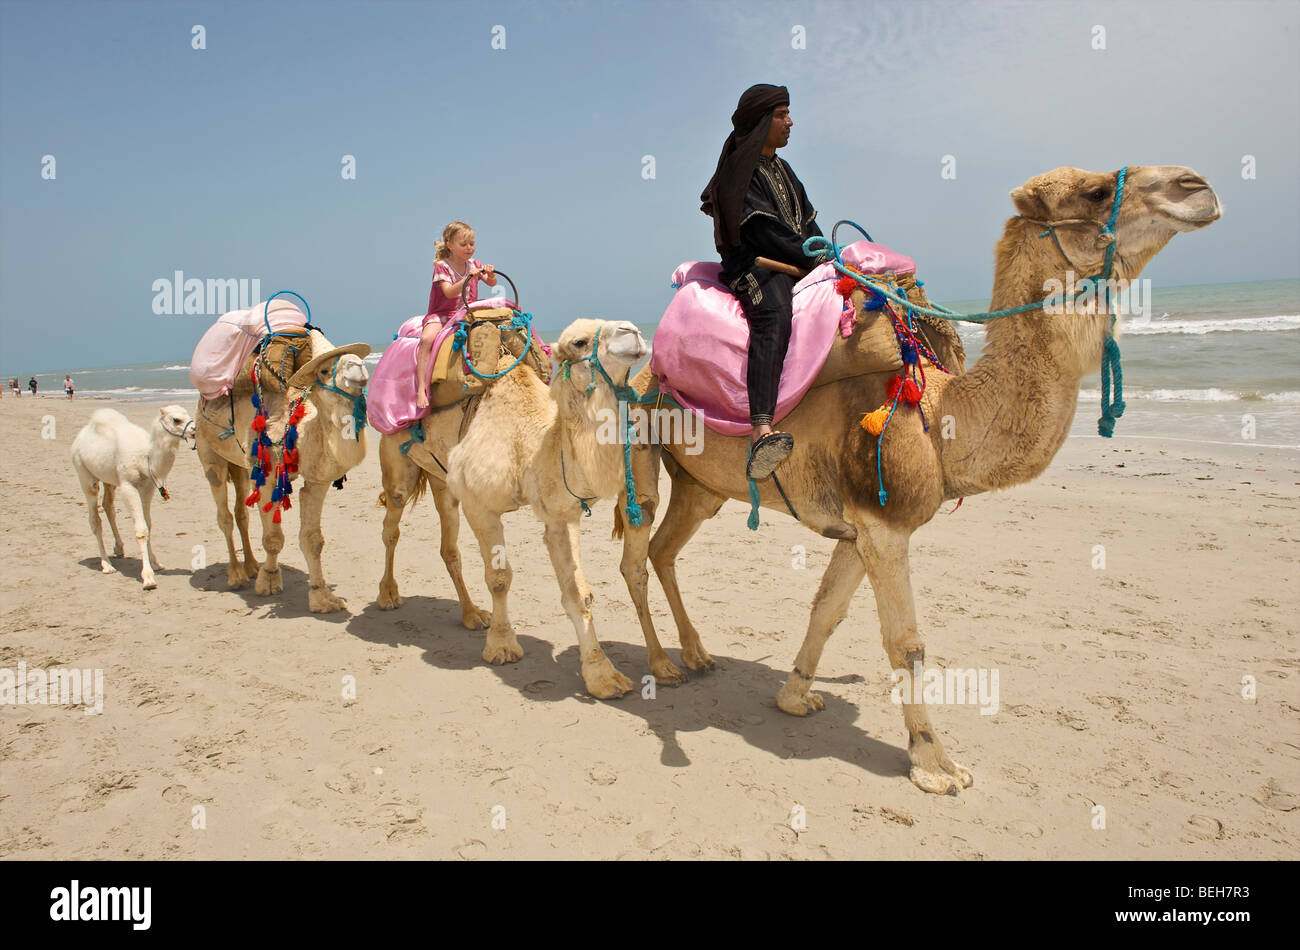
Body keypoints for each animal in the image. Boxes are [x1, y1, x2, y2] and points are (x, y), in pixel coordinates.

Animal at [70, 405, 196, 589]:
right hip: (83, 472)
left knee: (108, 506)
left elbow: (148, 525)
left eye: (187, 413)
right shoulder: (128, 486)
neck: (146, 459)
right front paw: (148, 578)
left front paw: (156, 564)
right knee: (95, 518)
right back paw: (106, 564)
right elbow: (141, 530)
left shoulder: (148, 487)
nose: (194, 430)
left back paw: (119, 549)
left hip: (110, 479)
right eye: (176, 419)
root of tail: (80, 438)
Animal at [194, 328, 370, 612]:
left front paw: (323, 598)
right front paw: (268, 581)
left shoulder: (318, 479)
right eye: (324, 370)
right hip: (208, 452)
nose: (358, 366)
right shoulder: (267, 474)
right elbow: (273, 538)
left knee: (241, 511)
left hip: (240, 466)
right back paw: (236, 575)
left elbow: (313, 540)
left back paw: (251, 566)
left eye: (355, 358)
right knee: (224, 514)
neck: (302, 429)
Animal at [437, 319, 650, 698]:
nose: (633, 331)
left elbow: (579, 593)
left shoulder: (562, 515)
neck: (529, 446)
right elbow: (499, 579)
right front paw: (502, 646)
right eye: (579, 342)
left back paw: (472, 616)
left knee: (446, 547)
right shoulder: (479, 504)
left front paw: (602, 676)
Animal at [614, 165, 1221, 794]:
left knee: (664, 549)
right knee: (636, 550)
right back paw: (659, 667)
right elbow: (905, 642)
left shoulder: (859, 526)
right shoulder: (886, 526)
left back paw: (697, 655)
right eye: (1096, 192)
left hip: (700, 487)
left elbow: (826, 610)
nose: (1195, 186)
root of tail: (648, 365)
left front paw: (795, 698)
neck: (939, 416)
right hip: (640, 439)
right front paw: (936, 765)